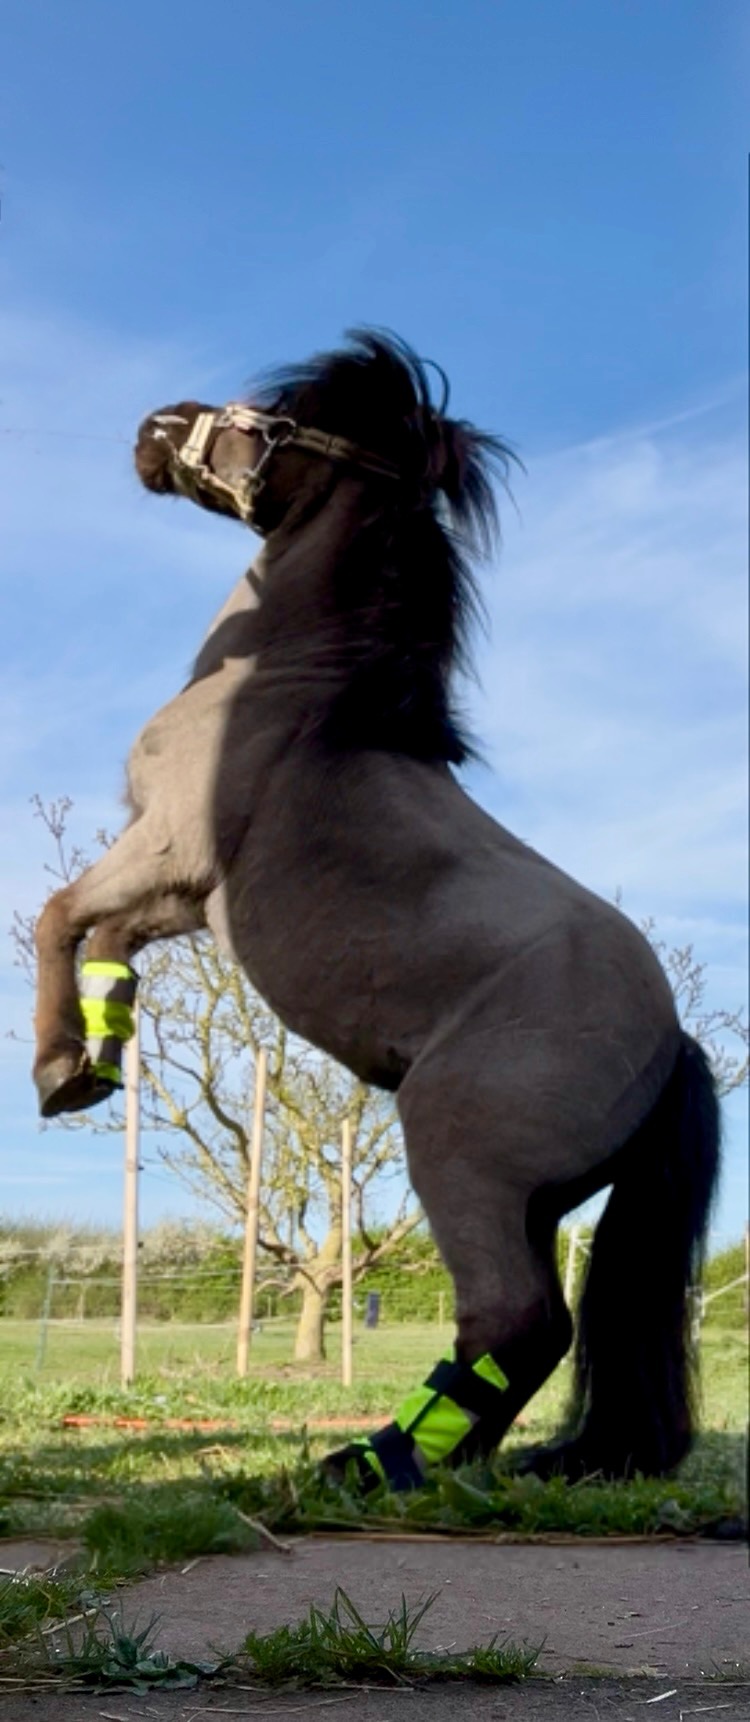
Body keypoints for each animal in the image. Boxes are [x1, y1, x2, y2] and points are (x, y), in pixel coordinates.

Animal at [32, 330, 720, 1489]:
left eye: (282, 415)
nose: (157, 427)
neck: (300, 693)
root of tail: (670, 1047)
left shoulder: (165, 848)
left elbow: (55, 913)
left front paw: (55, 1069)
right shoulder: (182, 895)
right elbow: (108, 941)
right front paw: (98, 1054)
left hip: (457, 1156)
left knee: (518, 1319)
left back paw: (373, 1460)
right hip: (533, 1203)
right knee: (534, 1332)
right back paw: (455, 1461)